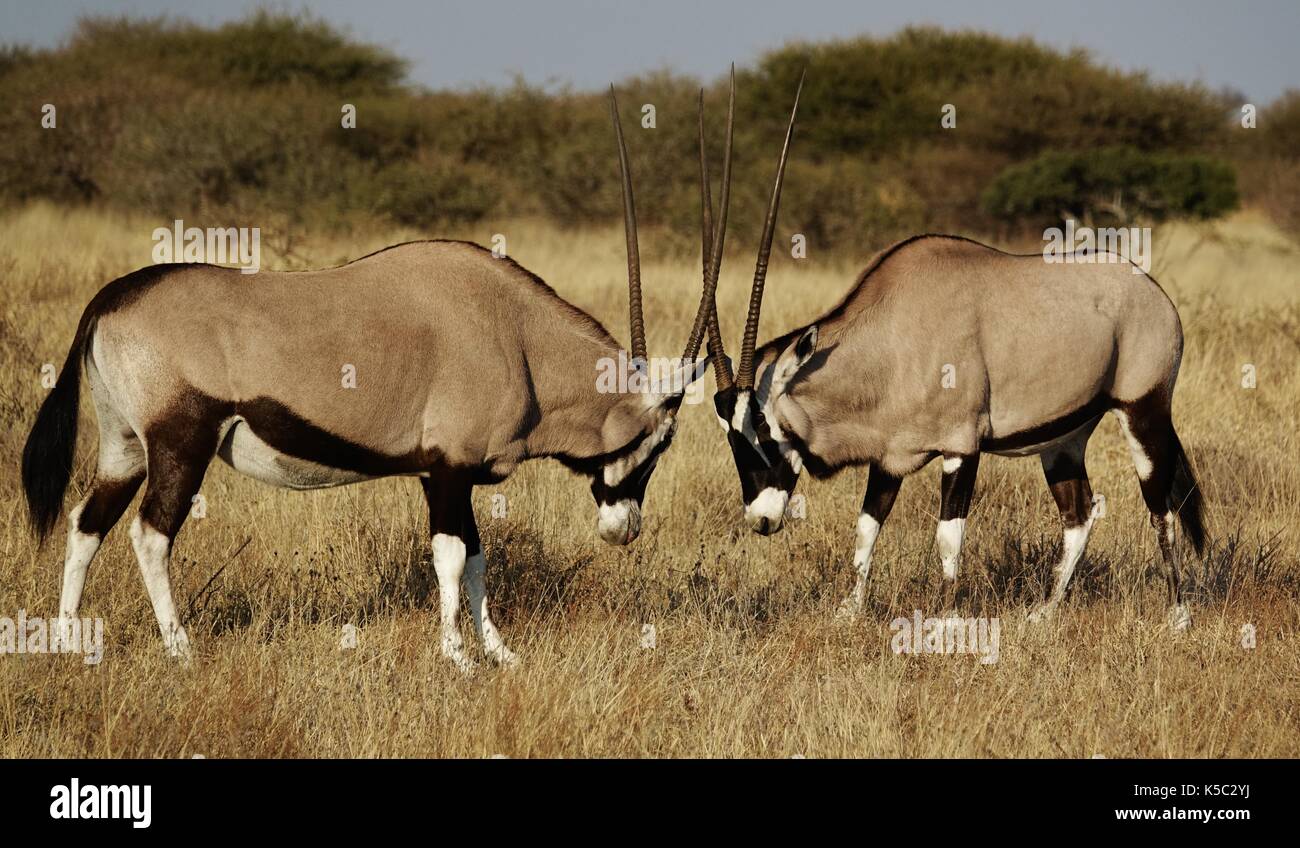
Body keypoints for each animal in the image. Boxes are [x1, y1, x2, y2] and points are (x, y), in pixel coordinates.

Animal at [20, 88, 720, 670]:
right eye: (660, 442)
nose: (624, 530)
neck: (516, 337)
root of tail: (113, 296)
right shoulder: (448, 469)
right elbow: (452, 556)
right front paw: (457, 659)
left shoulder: (449, 474)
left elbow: (479, 558)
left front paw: (502, 654)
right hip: (180, 442)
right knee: (150, 533)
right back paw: (180, 649)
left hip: (125, 447)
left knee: (87, 523)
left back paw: (71, 640)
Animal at [702, 78, 1205, 630]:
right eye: (729, 435)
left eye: (764, 427)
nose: (761, 519)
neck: (892, 341)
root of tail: (1154, 291)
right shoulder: (890, 457)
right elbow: (866, 529)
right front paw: (848, 613)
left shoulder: (961, 448)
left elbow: (948, 537)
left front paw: (945, 619)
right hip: (1064, 441)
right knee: (1080, 513)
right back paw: (1043, 613)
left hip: (1142, 412)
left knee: (1161, 508)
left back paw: (1178, 615)